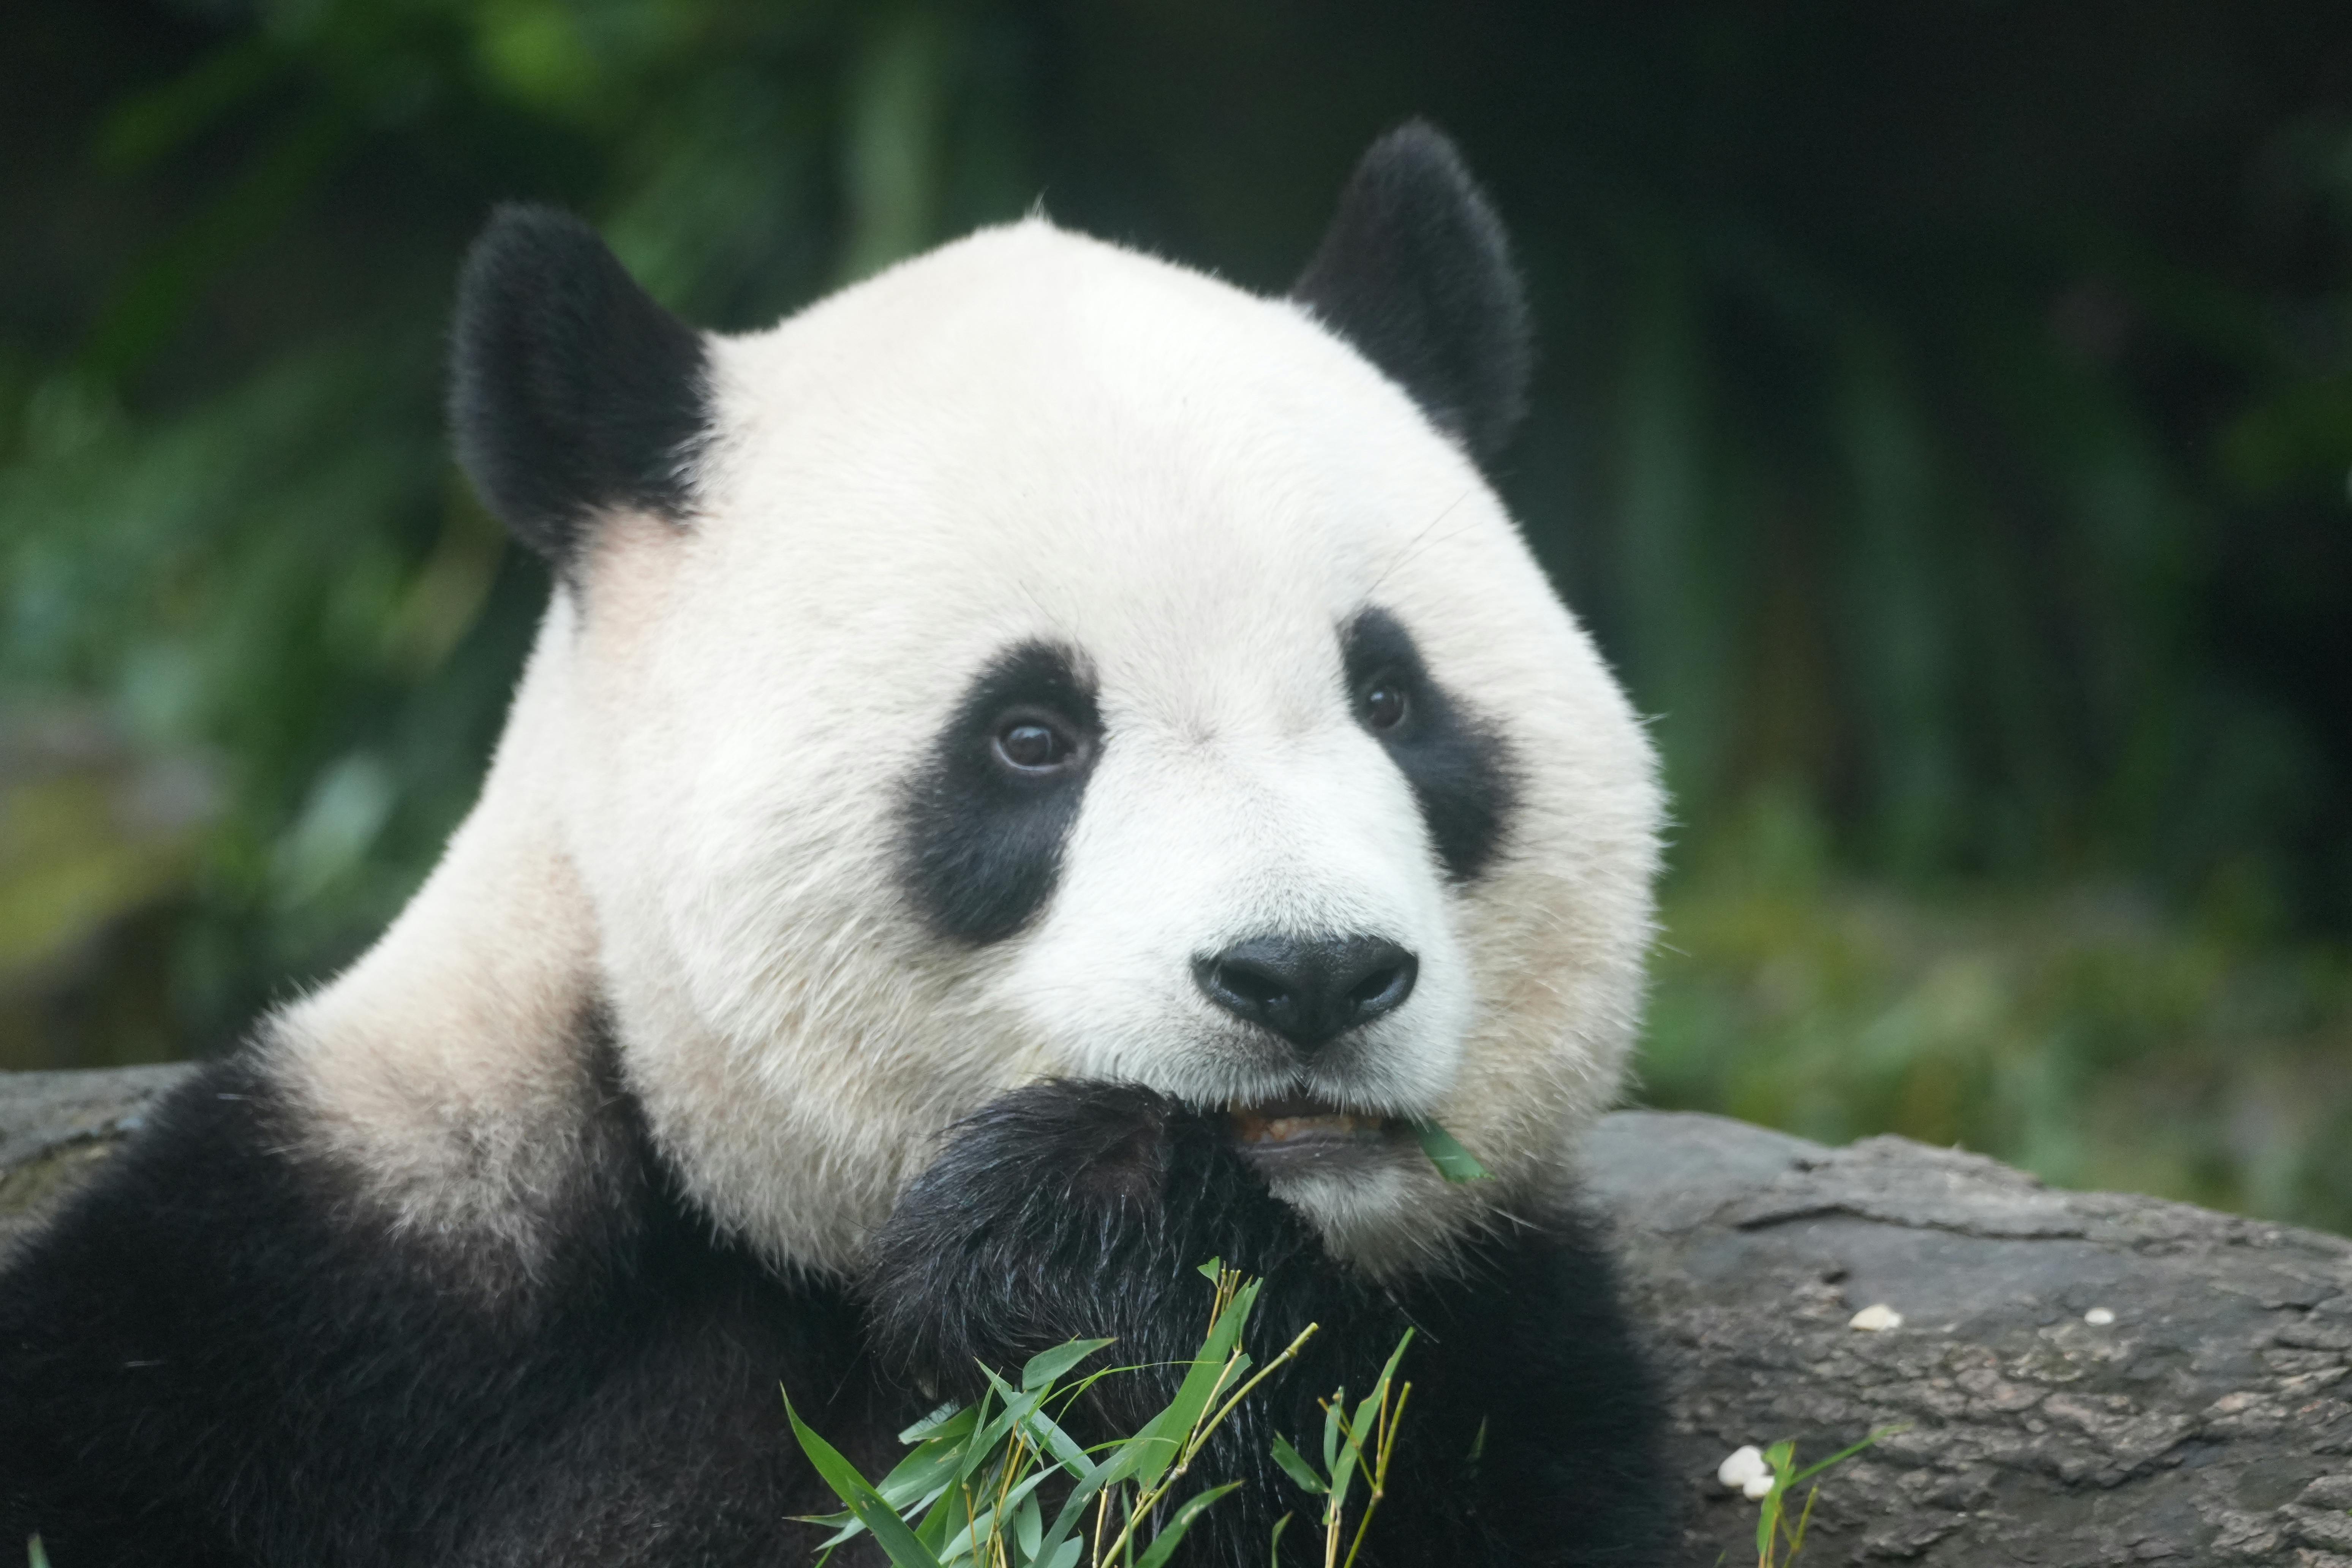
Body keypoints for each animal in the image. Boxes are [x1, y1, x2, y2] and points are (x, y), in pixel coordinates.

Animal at [0, 124, 1669, 1566]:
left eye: (1392, 698)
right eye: (1030, 736)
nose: (1309, 973)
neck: (789, 1246)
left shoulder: (1500, 1339)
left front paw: (1101, 1257)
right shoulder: (326, 1301)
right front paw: (1107, 1224)